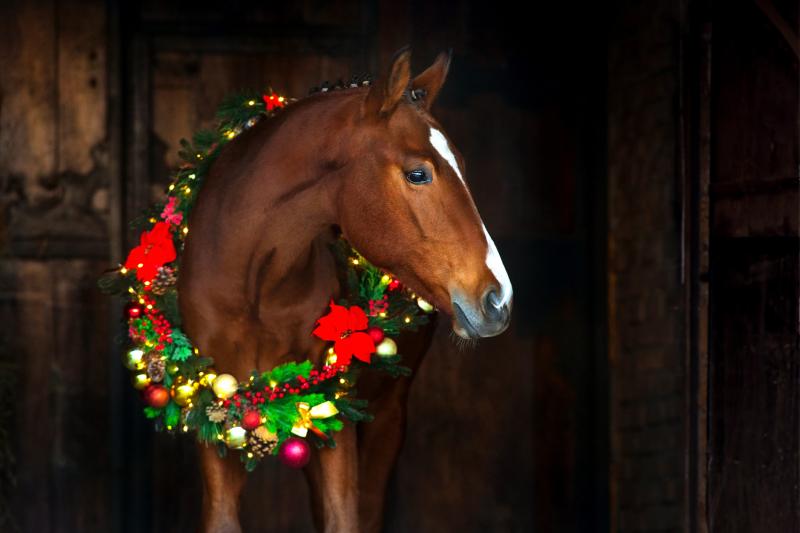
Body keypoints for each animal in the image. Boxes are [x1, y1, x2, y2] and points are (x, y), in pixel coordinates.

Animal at [178, 47, 513, 533]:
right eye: (418, 174)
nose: (498, 300)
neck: (254, 284)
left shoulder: (337, 421)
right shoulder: (213, 424)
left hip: (386, 416)